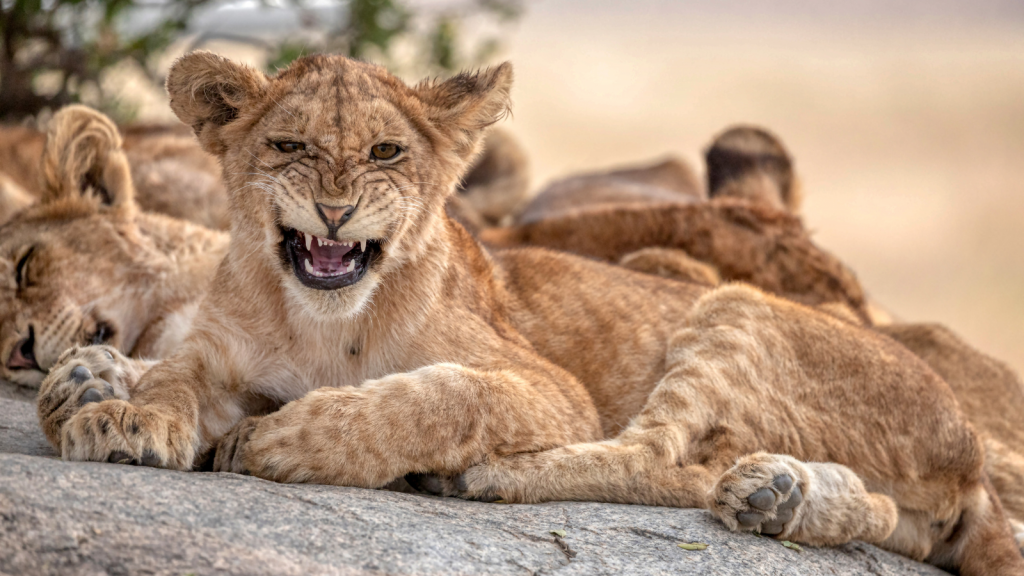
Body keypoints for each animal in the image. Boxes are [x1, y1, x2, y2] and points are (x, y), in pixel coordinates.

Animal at [32, 52, 1024, 574]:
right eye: (290, 146)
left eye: (386, 153)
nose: (335, 213)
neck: (321, 318)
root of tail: (966, 447)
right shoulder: (220, 352)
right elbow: (177, 374)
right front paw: (119, 414)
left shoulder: (546, 385)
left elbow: (435, 395)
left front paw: (290, 438)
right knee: (853, 508)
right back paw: (784, 494)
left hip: (730, 306)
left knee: (659, 458)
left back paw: (477, 478)